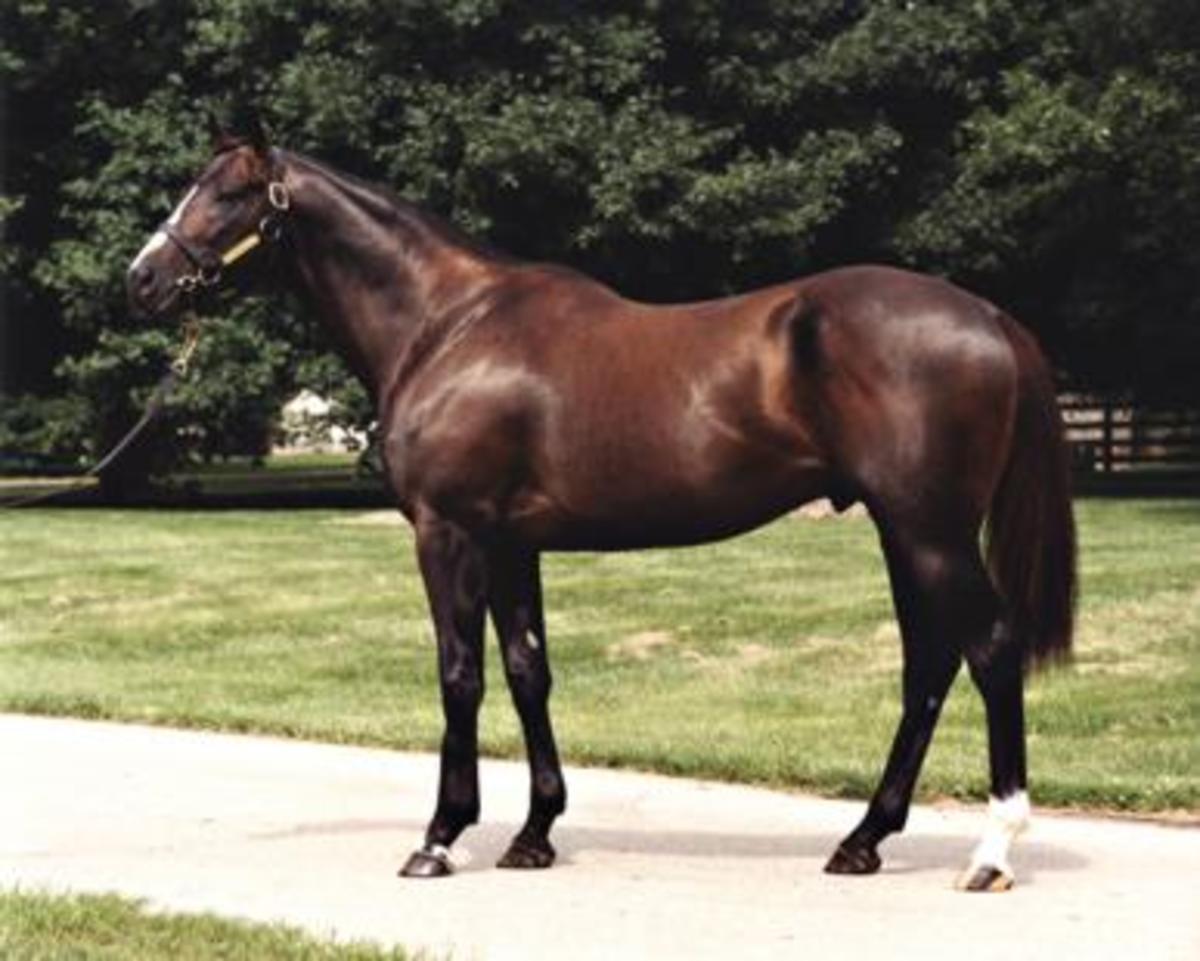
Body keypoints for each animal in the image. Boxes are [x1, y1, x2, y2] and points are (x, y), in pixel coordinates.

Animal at [127, 119, 1075, 893]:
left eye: (229, 193)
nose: (143, 278)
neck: (447, 324)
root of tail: (989, 315)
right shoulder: (510, 544)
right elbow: (528, 670)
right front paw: (534, 833)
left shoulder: (448, 532)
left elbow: (459, 673)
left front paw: (439, 837)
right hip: (903, 529)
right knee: (928, 664)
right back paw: (863, 839)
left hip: (928, 531)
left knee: (988, 650)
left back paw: (991, 850)